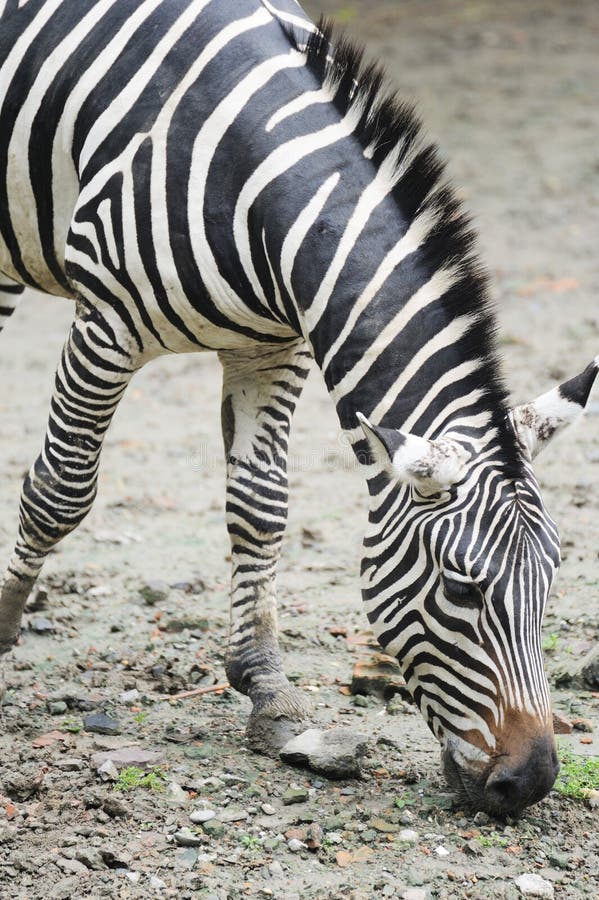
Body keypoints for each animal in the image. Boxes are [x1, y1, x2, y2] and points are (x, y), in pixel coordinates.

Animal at [0, 0, 596, 817]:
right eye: (462, 587)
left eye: (554, 576)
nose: (532, 782)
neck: (259, 181)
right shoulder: (107, 326)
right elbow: (60, 491)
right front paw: (1, 625)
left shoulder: (273, 348)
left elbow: (261, 508)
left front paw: (267, 692)